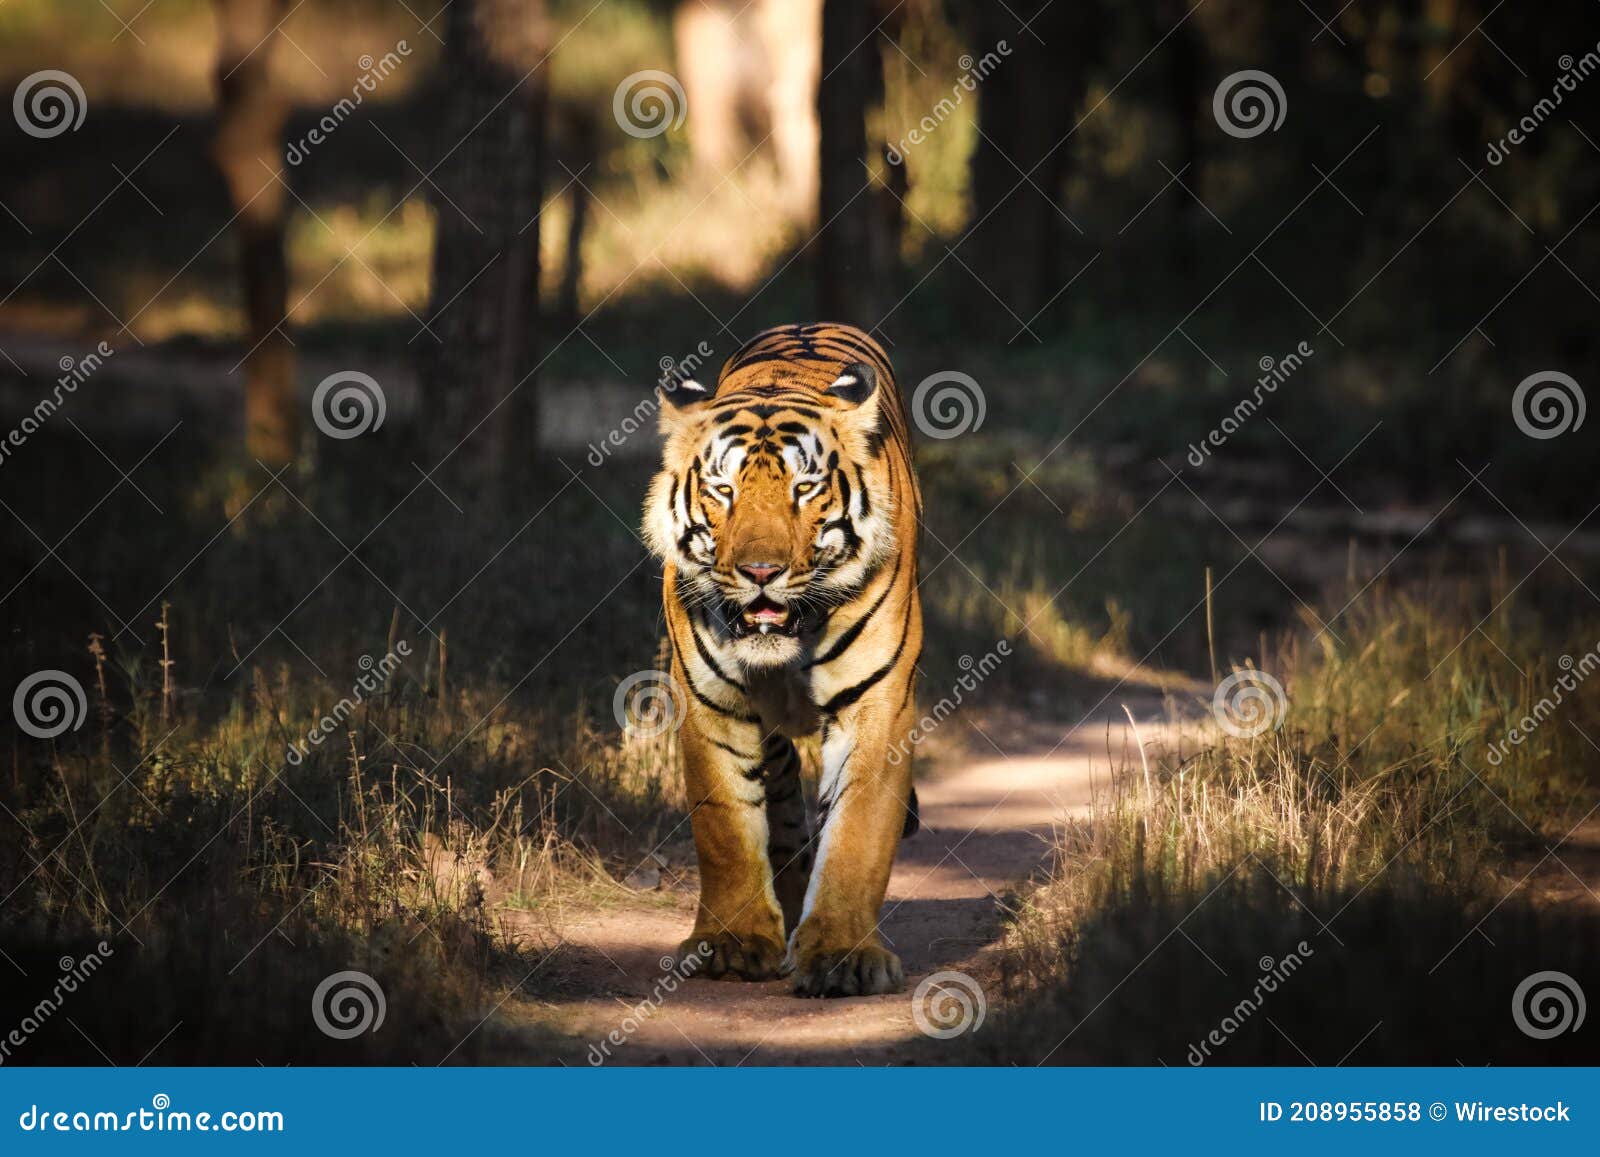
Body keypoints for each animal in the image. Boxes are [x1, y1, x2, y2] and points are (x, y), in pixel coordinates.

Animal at [642, 322, 923, 997]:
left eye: (804, 489)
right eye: (724, 490)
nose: (761, 572)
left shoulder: (877, 706)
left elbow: (857, 833)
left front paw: (843, 957)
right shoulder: (710, 703)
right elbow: (723, 828)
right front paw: (732, 943)